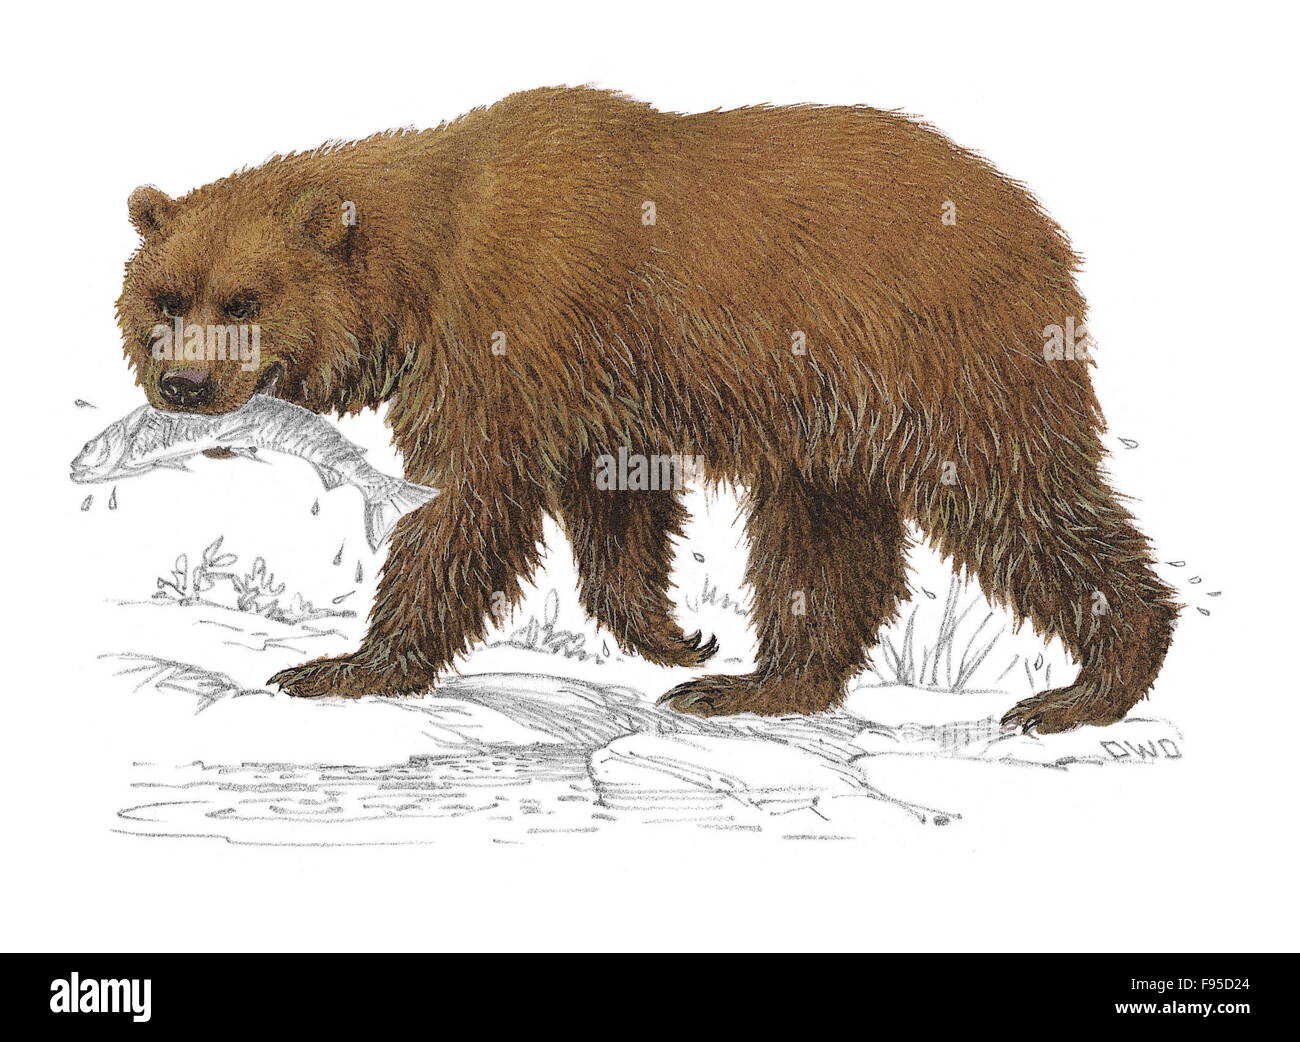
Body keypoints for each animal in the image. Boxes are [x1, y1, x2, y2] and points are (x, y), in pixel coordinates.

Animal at [117, 86, 1178, 732]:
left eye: (243, 301)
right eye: (166, 298)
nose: (183, 387)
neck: (419, 270)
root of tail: (1039, 224)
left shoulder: (516, 318)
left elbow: (467, 498)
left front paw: (346, 665)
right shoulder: (590, 380)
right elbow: (611, 498)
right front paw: (674, 633)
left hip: (941, 359)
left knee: (1017, 500)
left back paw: (1091, 685)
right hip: (834, 410)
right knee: (823, 533)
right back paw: (754, 683)